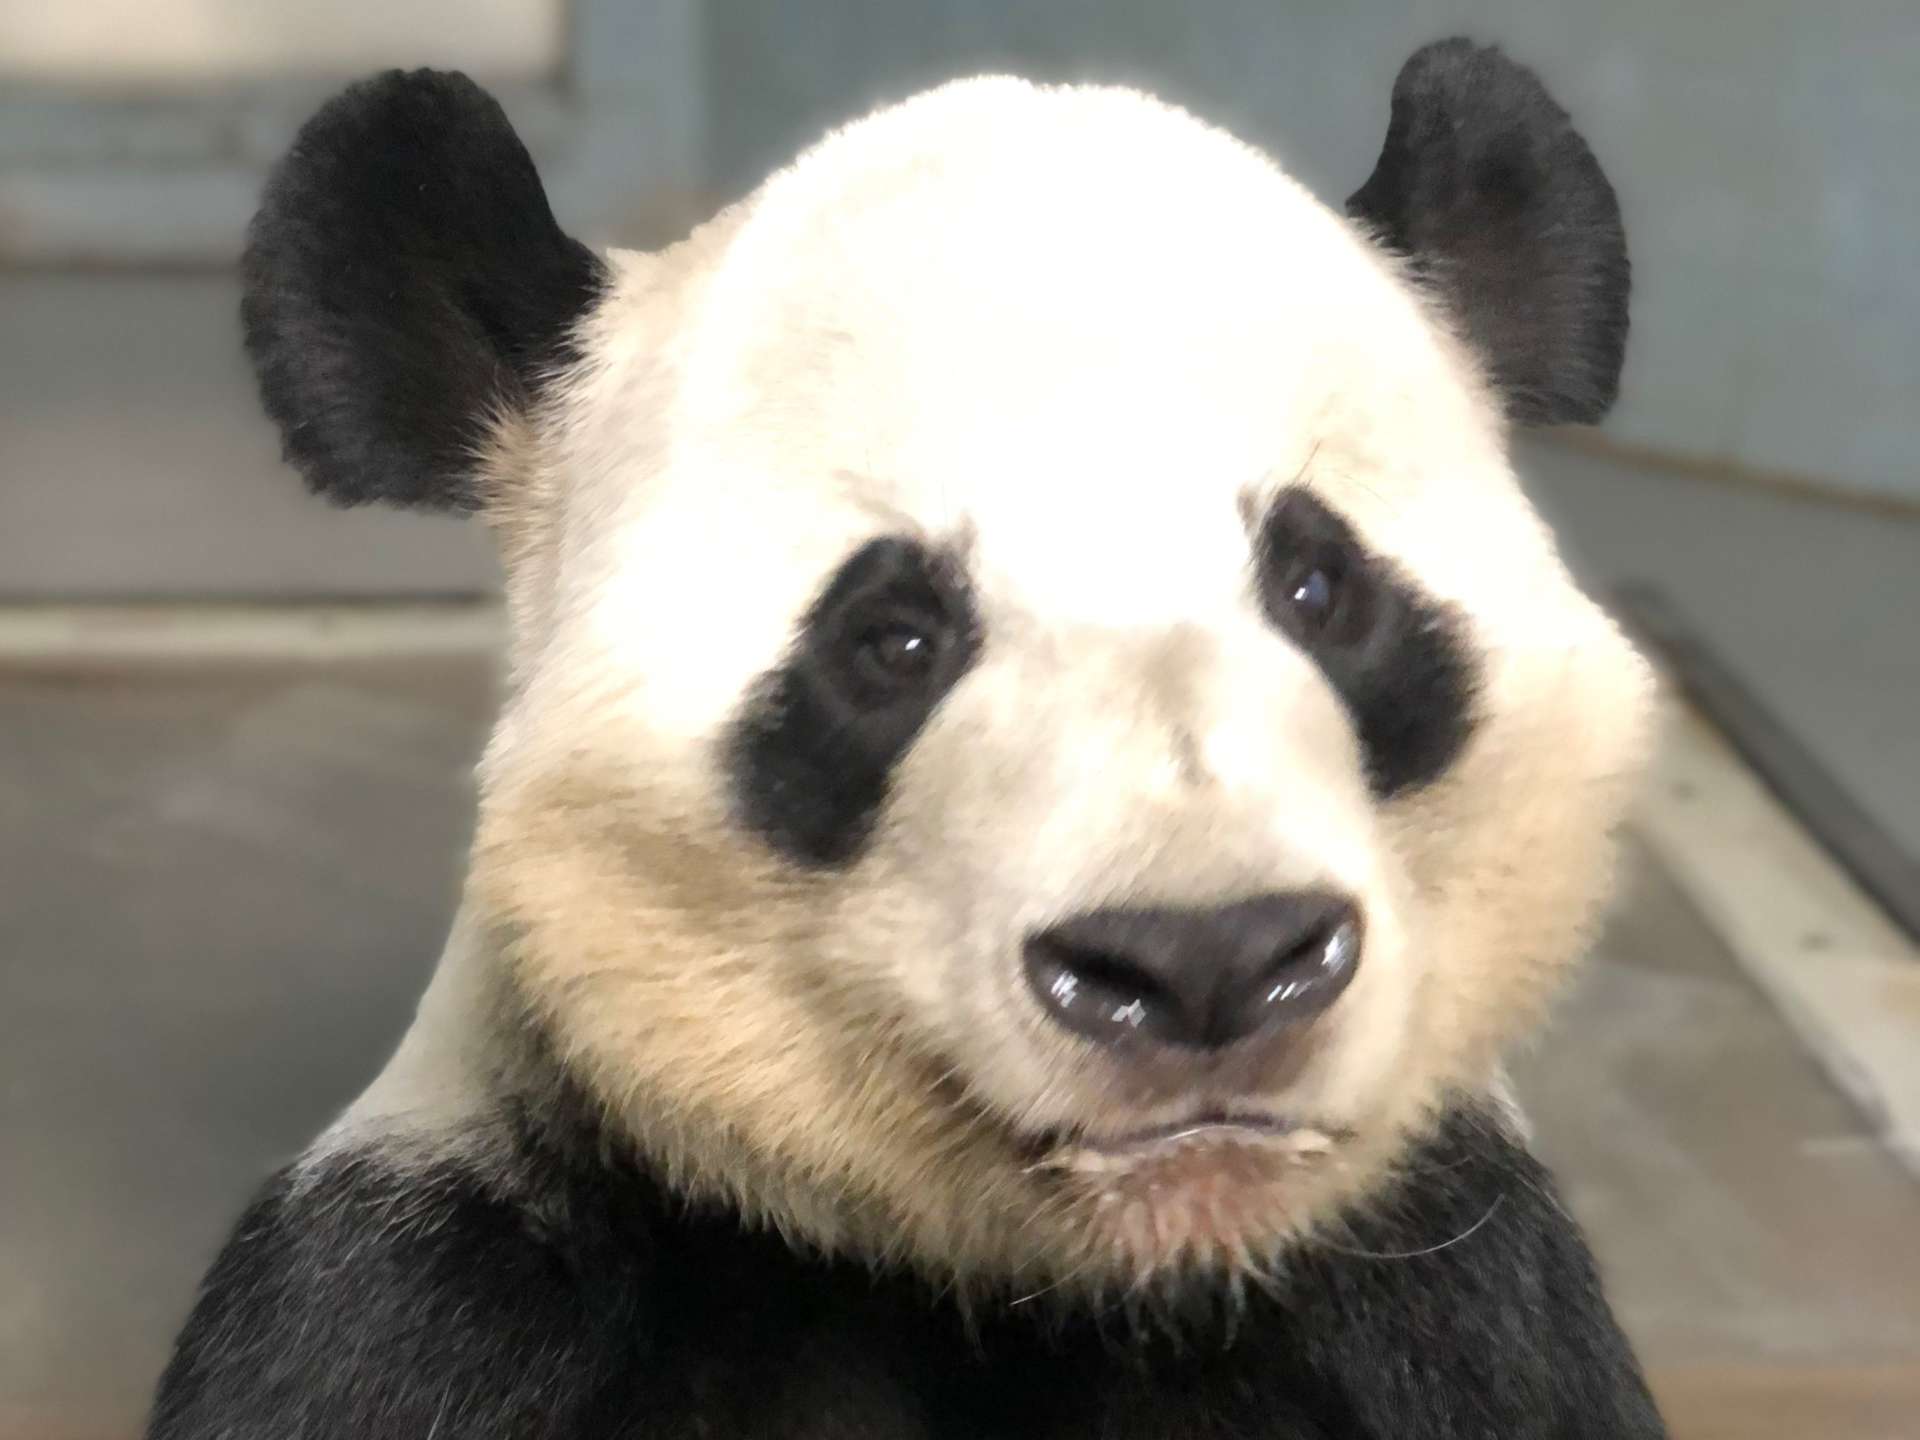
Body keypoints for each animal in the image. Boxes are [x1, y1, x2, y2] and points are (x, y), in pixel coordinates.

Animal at [149, 38, 1666, 1440]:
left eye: (1318, 589)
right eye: (892, 640)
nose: (1205, 960)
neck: (1061, 1276)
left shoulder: (1453, 1307)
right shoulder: (447, 1277)